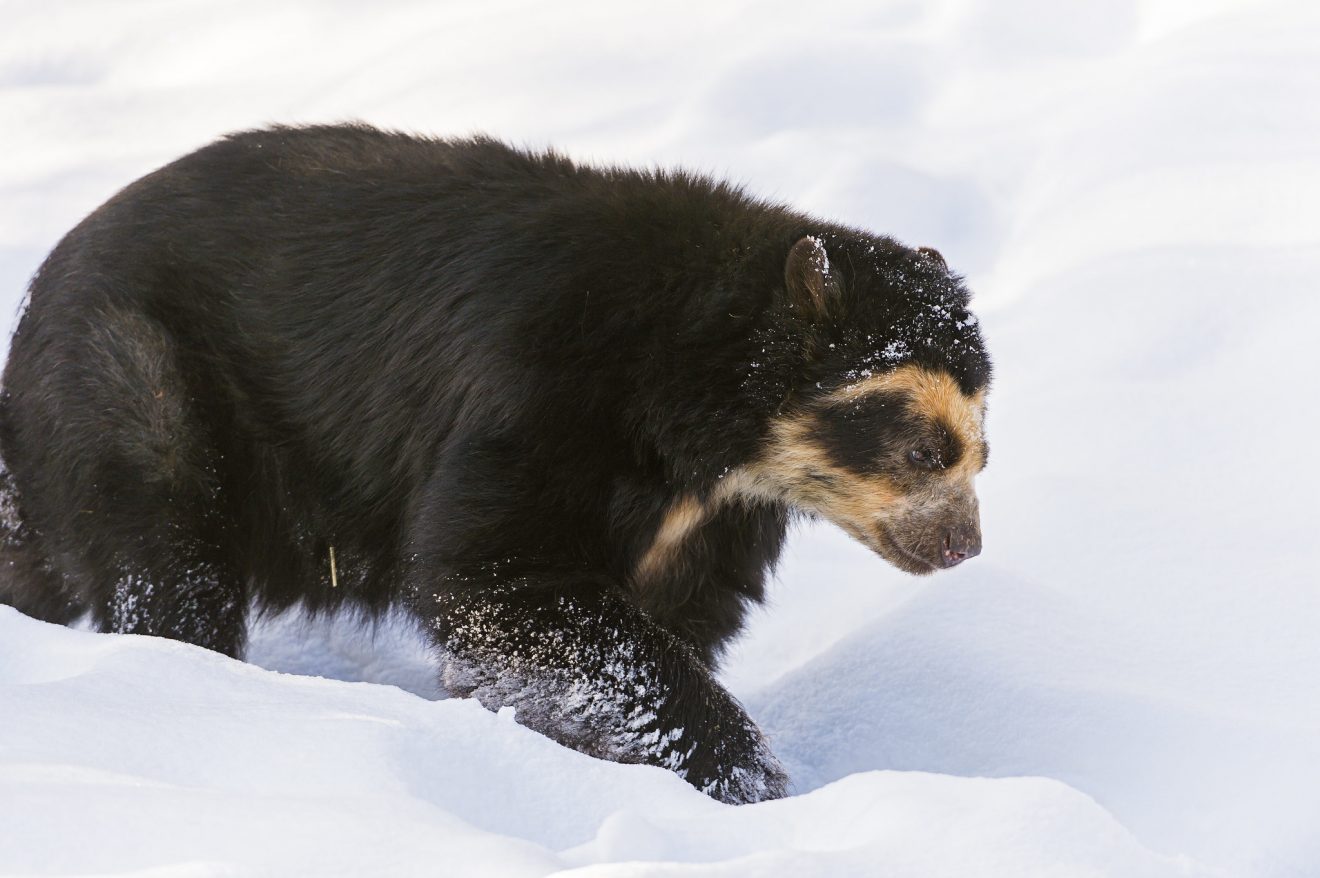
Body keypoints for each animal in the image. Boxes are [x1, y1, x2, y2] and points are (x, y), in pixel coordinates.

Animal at [0, 124, 991, 804]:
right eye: (923, 448)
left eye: (984, 449)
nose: (964, 547)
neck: (704, 434)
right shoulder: (539, 399)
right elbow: (502, 576)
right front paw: (742, 777)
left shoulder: (712, 522)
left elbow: (669, 618)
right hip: (135, 380)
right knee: (166, 561)